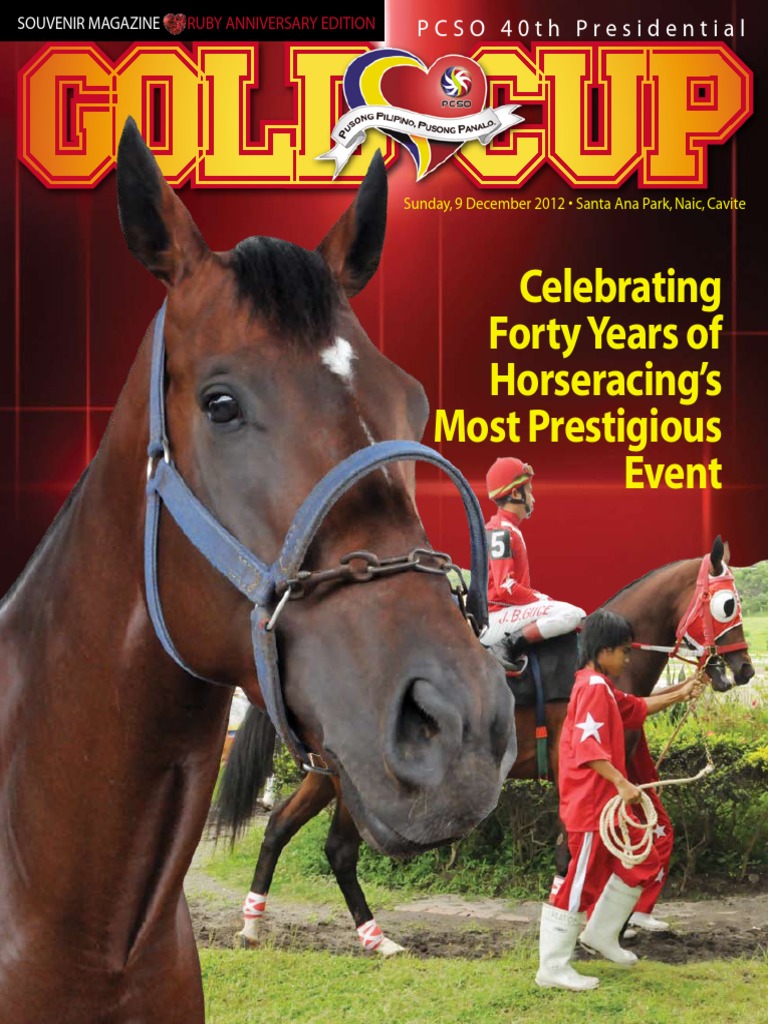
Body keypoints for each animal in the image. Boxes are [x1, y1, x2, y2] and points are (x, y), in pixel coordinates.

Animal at [212, 534, 753, 954]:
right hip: (357, 783)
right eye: (729, 604)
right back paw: (376, 938)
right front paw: (568, 924)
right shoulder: (575, 765)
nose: (745, 668)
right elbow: (573, 851)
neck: (595, 659)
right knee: (339, 849)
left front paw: (628, 920)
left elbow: (649, 831)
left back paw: (253, 925)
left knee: (279, 825)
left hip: (328, 775)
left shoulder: (625, 766)